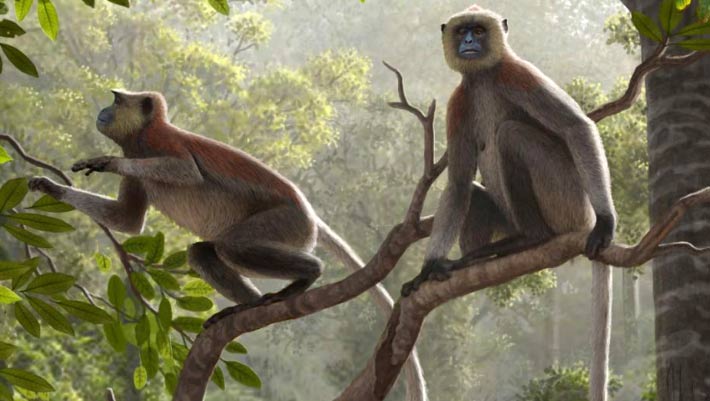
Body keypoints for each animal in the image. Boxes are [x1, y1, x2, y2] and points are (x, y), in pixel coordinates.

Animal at [27, 90, 363, 327]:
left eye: (117, 100)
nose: (104, 109)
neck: (141, 139)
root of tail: (310, 214)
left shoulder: (161, 139)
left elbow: (187, 172)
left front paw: (108, 161)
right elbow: (125, 220)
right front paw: (51, 187)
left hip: (288, 222)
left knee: (234, 246)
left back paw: (309, 273)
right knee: (203, 252)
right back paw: (250, 304)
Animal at [400, 6, 616, 401]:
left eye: (479, 31)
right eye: (463, 32)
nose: (469, 42)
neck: (484, 77)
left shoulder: (518, 74)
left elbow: (576, 128)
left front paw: (608, 221)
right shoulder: (459, 100)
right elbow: (457, 183)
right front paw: (429, 267)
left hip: (566, 199)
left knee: (511, 134)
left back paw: (534, 238)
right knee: (473, 191)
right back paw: (487, 252)